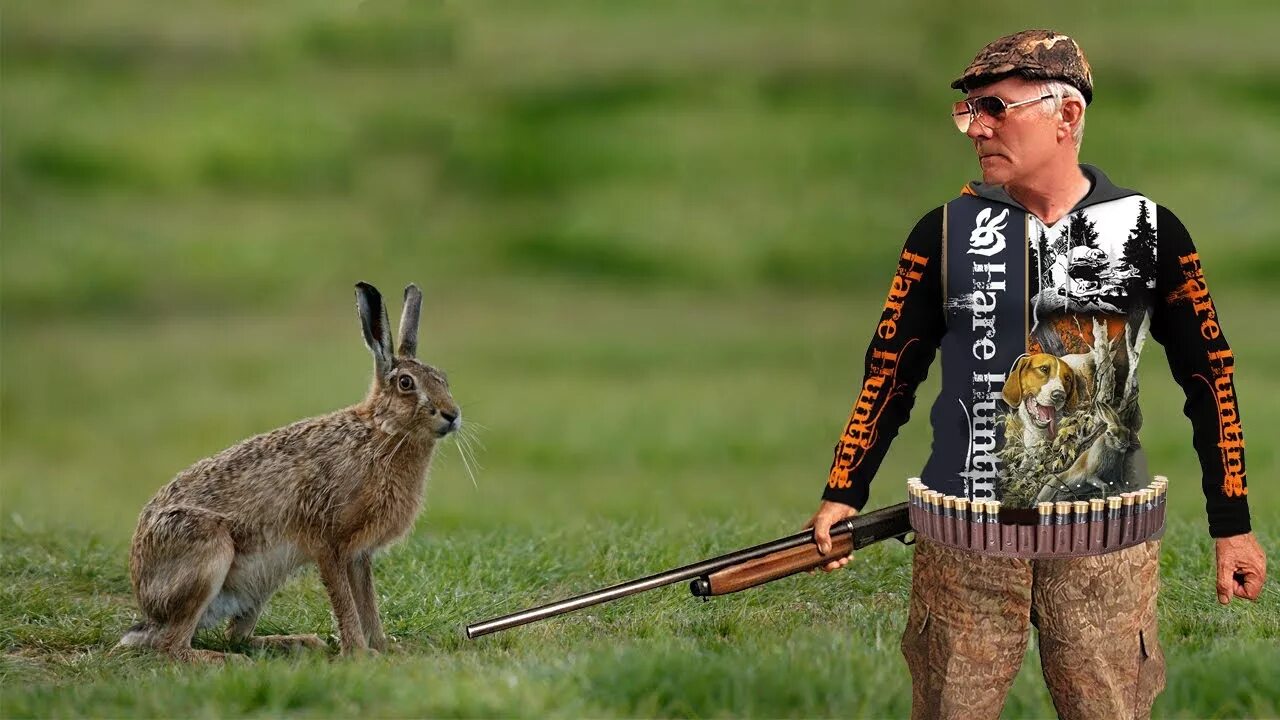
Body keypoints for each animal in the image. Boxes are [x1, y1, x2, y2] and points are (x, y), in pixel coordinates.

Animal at [116, 282, 459, 662]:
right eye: (406, 383)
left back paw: (300, 642)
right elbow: (345, 602)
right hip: (208, 556)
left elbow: (367, 601)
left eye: (443, 378)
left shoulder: (358, 554)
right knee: (173, 646)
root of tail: (148, 607)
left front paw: (385, 647)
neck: (381, 432)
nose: (452, 414)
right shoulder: (327, 542)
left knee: (233, 634)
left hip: (262, 584)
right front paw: (359, 653)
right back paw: (229, 661)